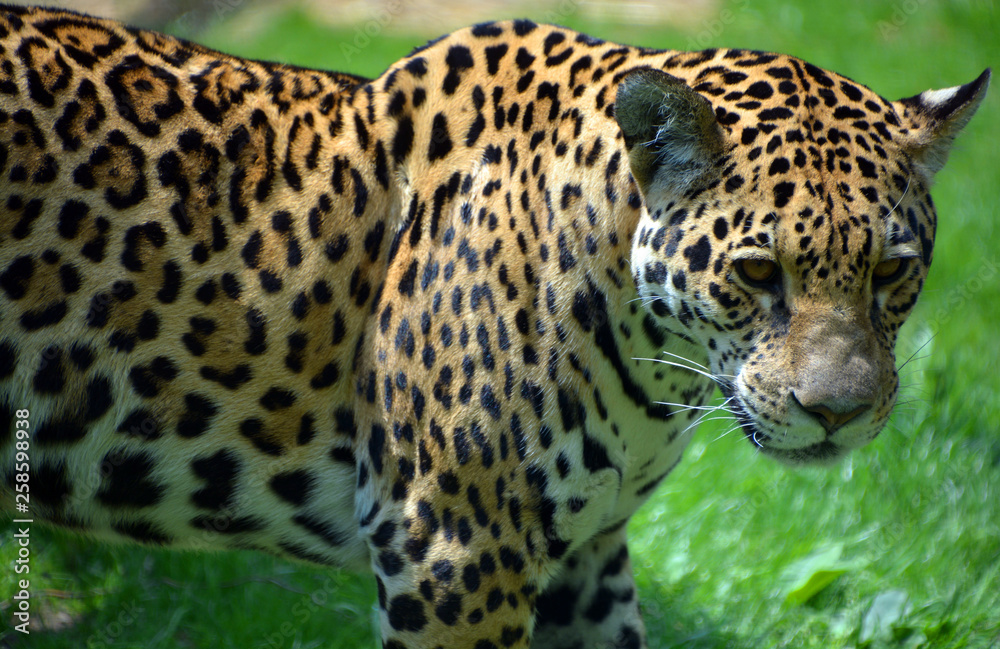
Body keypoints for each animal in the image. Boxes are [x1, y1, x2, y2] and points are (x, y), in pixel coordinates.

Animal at [0, 4, 989, 648]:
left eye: (892, 272)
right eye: (756, 272)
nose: (839, 413)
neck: (658, 363)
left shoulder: (585, 560)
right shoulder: (455, 550)